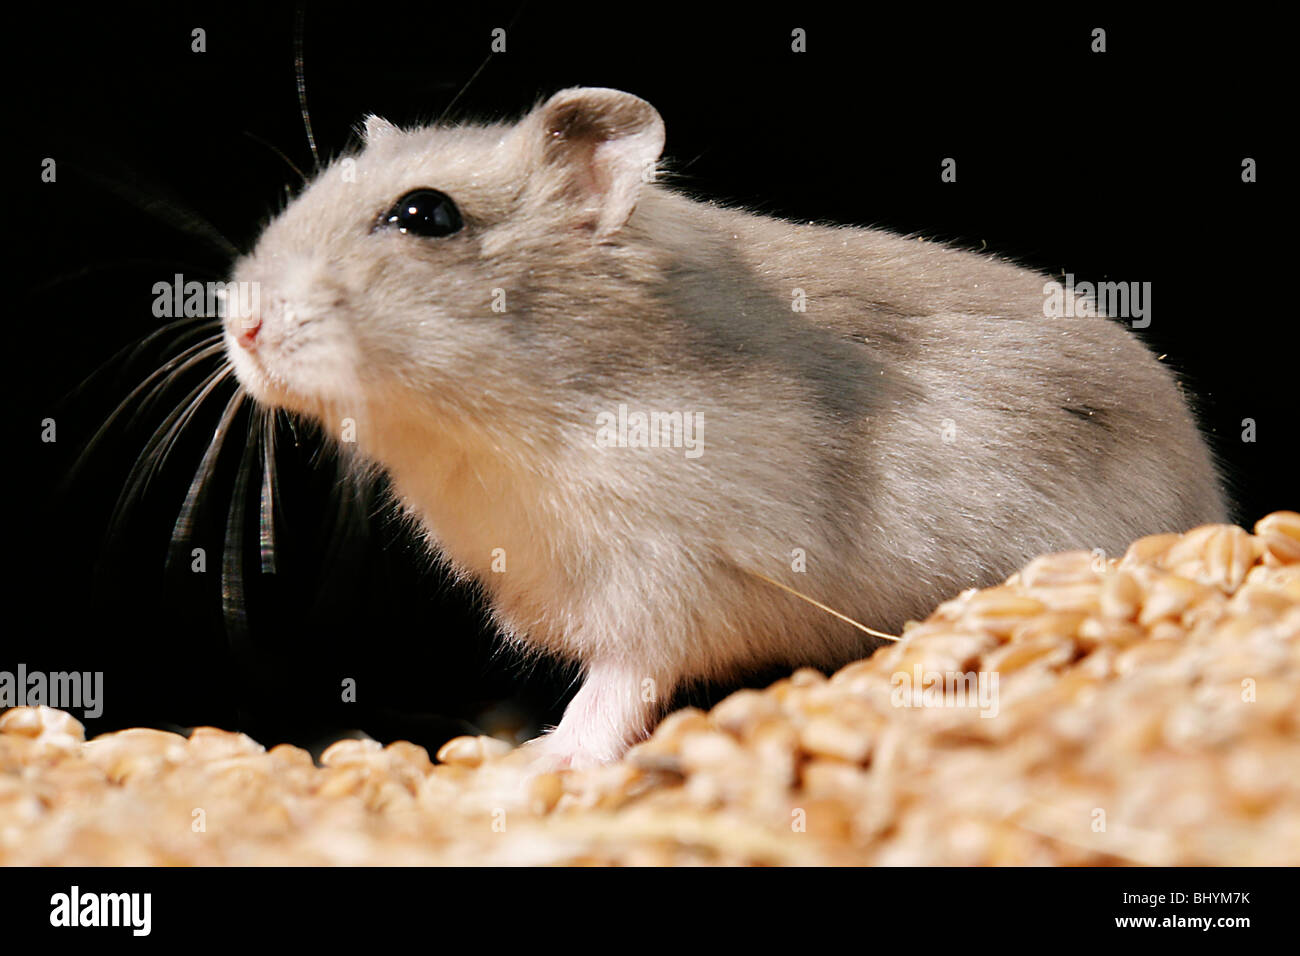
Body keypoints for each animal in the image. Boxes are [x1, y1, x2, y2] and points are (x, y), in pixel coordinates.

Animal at [222, 87, 1226, 767]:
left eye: (425, 214)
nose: (240, 325)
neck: (513, 412)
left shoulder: (665, 578)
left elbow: (618, 684)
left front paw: (540, 764)